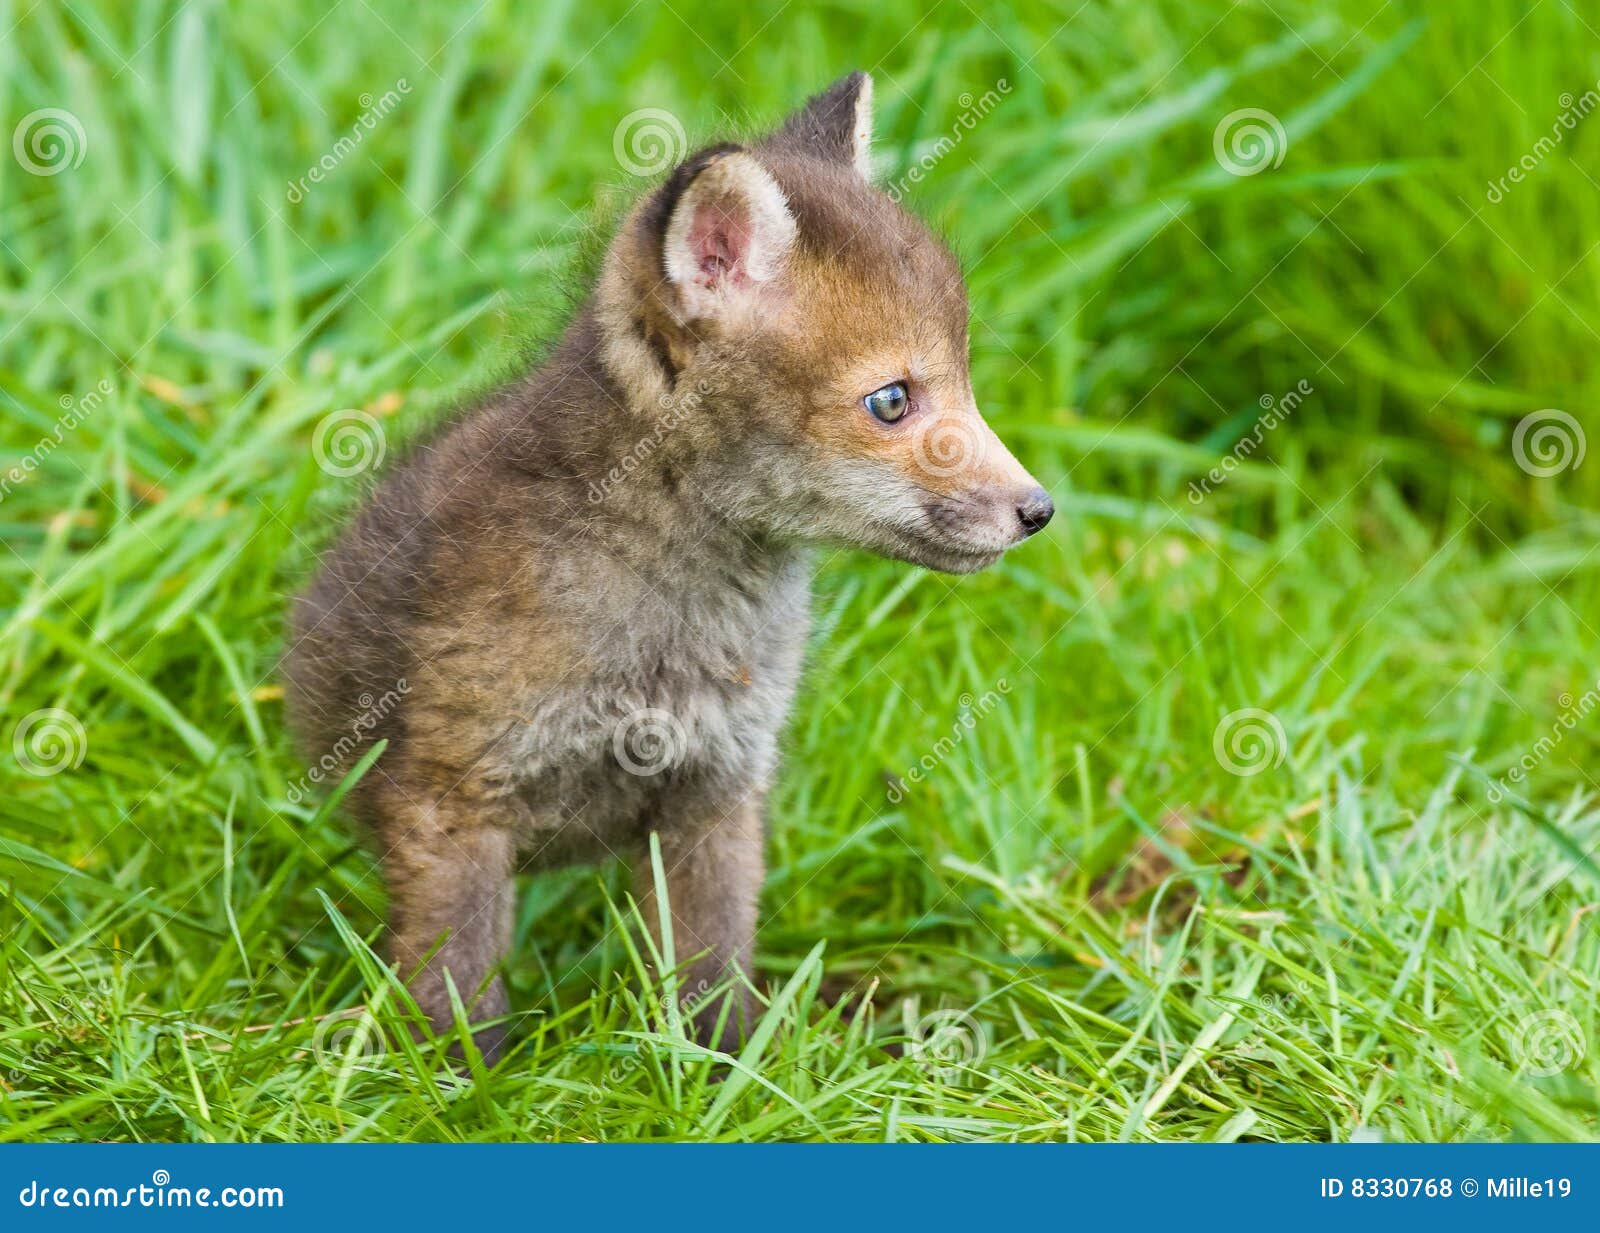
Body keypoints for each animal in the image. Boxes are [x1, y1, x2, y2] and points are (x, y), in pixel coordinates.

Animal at [284, 71, 1053, 1059]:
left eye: (965, 380)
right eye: (892, 401)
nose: (1038, 510)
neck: (671, 626)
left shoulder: (717, 788)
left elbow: (711, 969)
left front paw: (720, 1072)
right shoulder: (451, 793)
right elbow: (455, 985)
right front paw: (457, 1083)